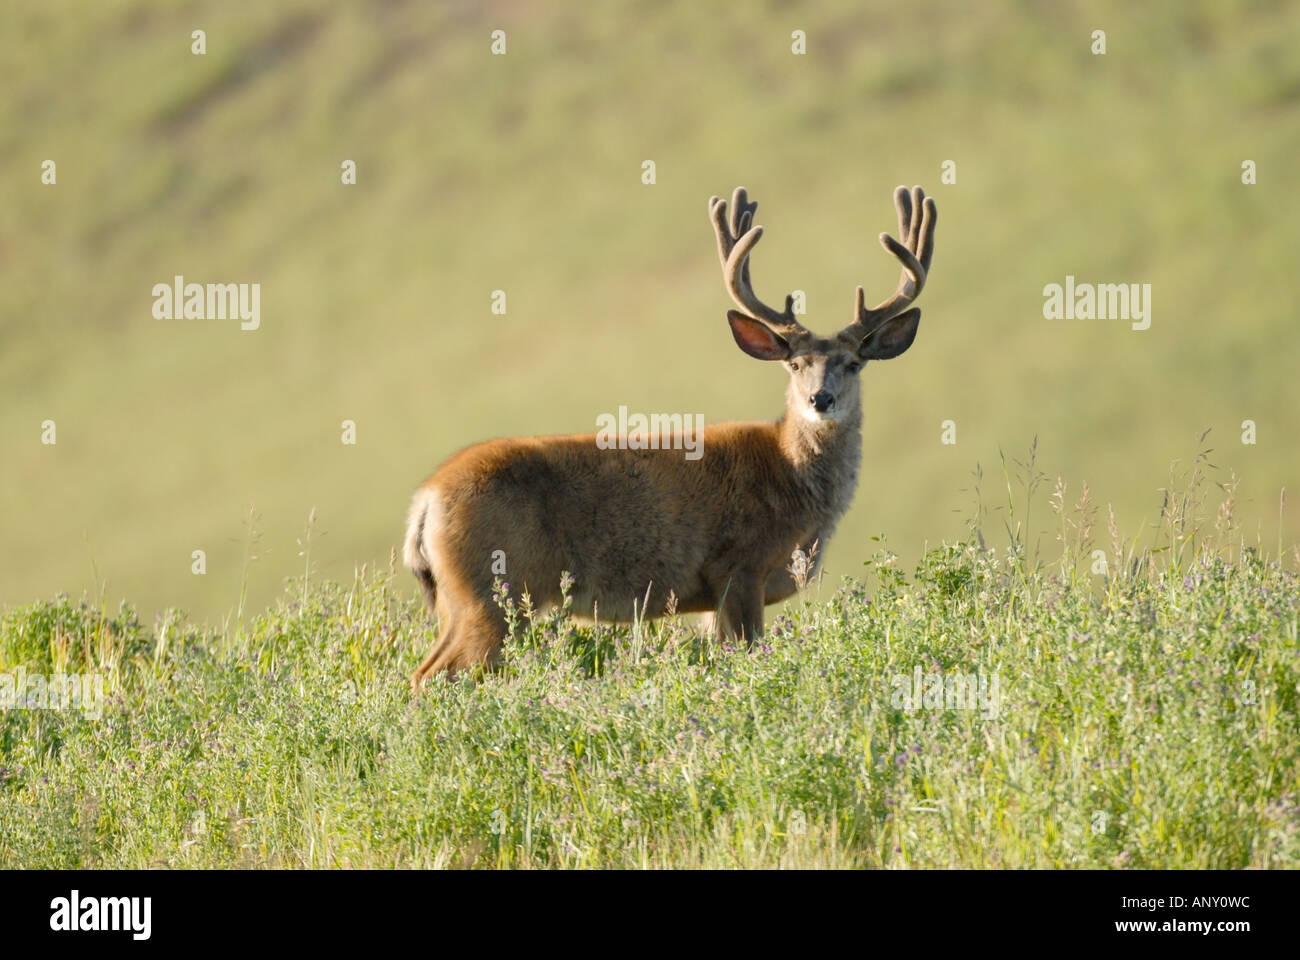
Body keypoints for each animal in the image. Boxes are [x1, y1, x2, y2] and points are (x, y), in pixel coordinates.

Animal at [403, 185, 936, 687]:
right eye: (795, 363)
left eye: (853, 363)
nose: (819, 399)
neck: (790, 477)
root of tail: (425, 500)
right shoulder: (739, 566)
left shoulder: (712, 597)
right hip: (496, 590)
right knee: (433, 675)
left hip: (466, 599)